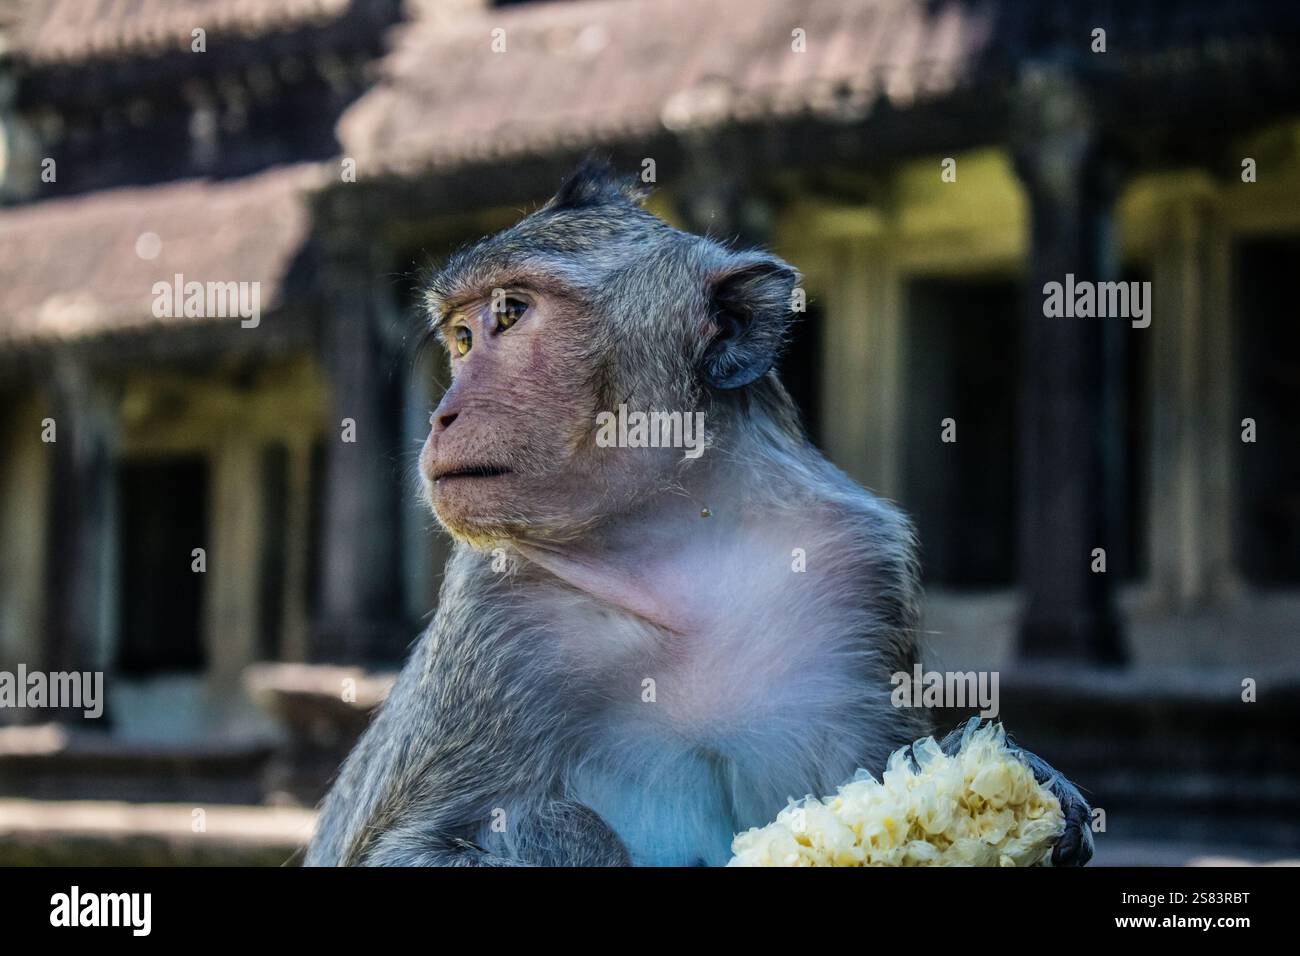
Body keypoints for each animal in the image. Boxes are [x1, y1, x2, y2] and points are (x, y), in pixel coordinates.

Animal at [305, 161, 1094, 867]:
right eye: (463, 338)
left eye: (510, 314)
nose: (442, 415)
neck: (676, 541)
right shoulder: (492, 613)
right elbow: (402, 850)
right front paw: (567, 840)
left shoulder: (861, 572)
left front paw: (1012, 775)